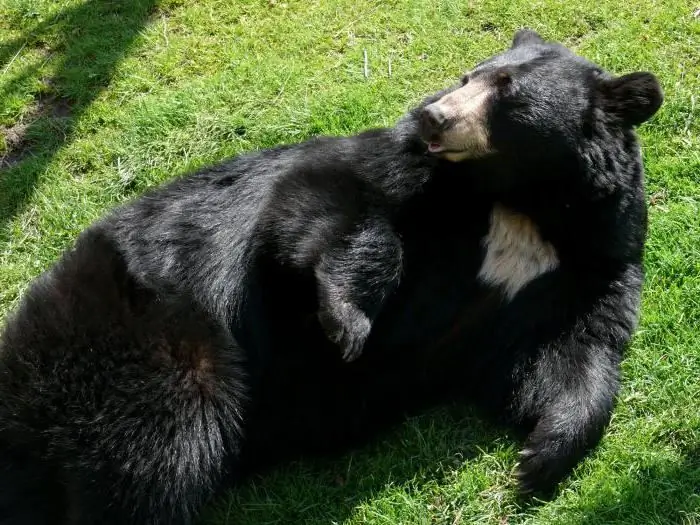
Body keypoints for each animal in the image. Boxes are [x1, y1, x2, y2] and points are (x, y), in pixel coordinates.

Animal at [0, 29, 660, 524]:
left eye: (506, 91)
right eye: (469, 76)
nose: (432, 115)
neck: (522, 202)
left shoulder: (593, 262)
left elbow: (569, 351)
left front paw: (537, 459)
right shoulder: (396, 173)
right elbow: (323, 204)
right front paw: (346, 325)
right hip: (143, 340)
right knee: (151, 449)